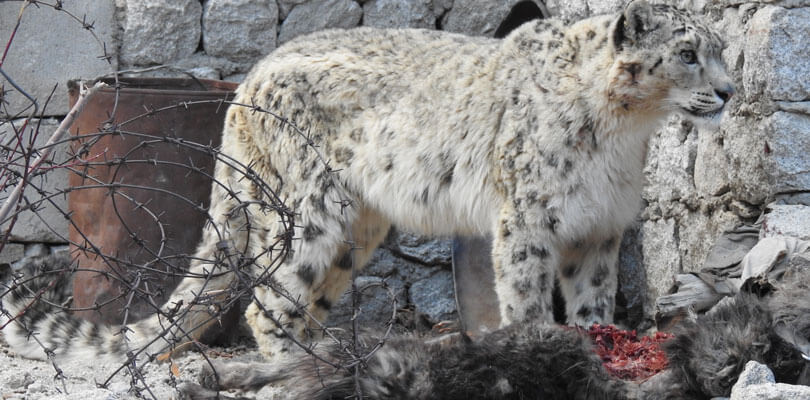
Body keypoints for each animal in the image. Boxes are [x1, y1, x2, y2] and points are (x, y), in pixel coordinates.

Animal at [1, 0, 733, 365]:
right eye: (687, 53)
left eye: (723, 49)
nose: (729, 91)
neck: (623, 135)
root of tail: (245, 86)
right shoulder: (527, 218)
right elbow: (525, 294)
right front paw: (537, 346)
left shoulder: (599, 229)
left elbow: (592, 303)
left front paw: (596, 343)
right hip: (305, 212)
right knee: (267, 300)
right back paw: (297, 364)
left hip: (357, 227)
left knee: (300, 297)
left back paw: (323, 353)